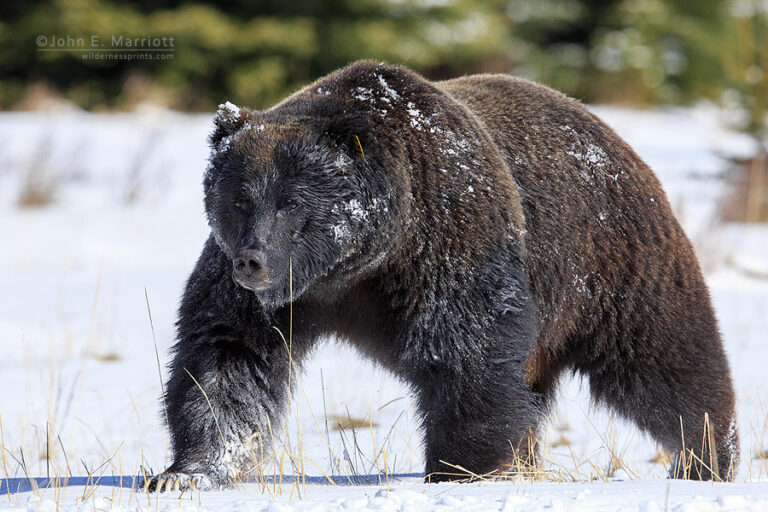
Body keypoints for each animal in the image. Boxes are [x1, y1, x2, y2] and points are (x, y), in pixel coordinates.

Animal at [146, 60, 738, 491]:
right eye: (239, 198)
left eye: (291, 201)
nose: (253, 260)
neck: (359, 264)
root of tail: (611, 135)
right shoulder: (266, 291)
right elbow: (226, 357)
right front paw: (186, 473)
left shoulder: (449, 239)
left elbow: (467, 353)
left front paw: (460, 469)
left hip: (610, 267)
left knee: (668, 363)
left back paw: (707, 459)